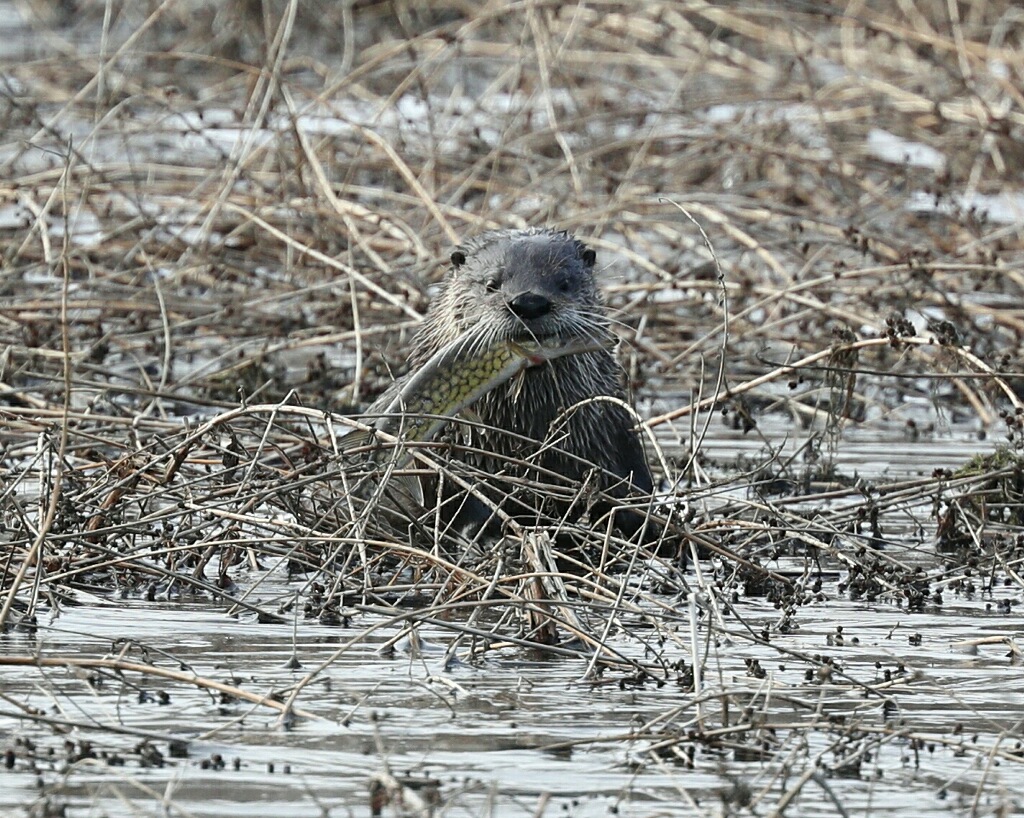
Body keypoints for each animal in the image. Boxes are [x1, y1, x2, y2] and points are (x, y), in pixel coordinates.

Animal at [372, 228, 653, 536]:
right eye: (491, 284)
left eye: (564, 282)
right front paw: (484, 532)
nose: (529, 302)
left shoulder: (615, 434)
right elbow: (462, 503)